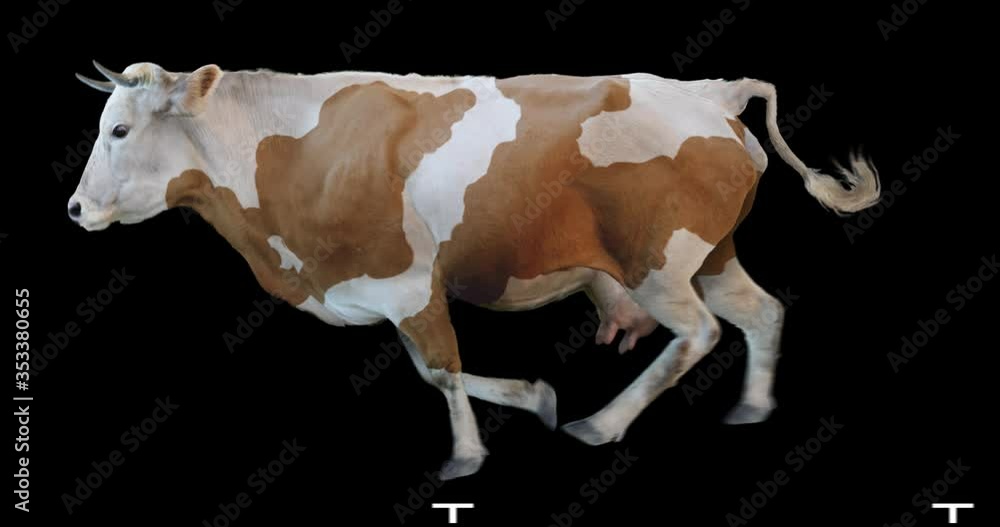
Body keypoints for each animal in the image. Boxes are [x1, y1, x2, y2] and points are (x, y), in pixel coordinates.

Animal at [70, 61, 880, 479]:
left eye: (120, 129)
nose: (76, 208)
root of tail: (710, 93)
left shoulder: (405, 283)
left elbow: (441, 370)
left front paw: (469, 450)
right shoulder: (397, 291)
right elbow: (436, 371)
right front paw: (533, 396)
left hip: (660, 263)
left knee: (700, 333)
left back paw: (602, 422)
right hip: (710, 255)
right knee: (762, 311)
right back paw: (752, 406)